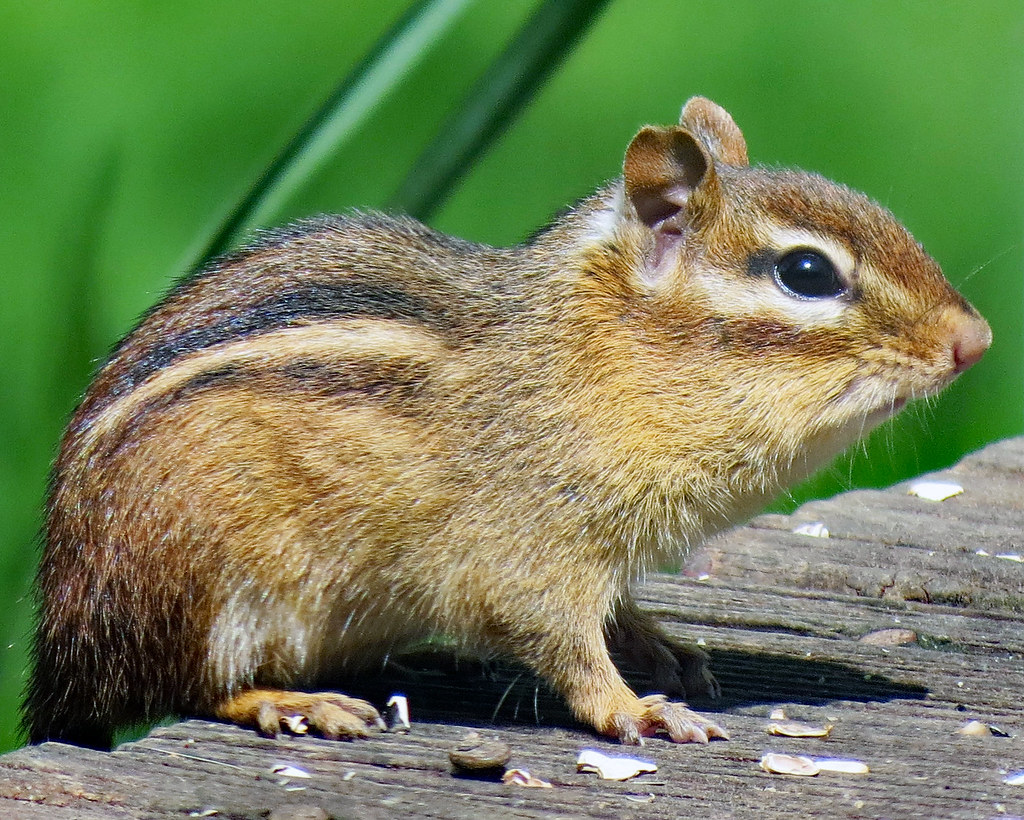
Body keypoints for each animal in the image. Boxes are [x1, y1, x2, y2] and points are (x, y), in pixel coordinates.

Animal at [27, 97, 990, 749]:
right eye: (806, 272)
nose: (974, 340)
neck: (592, 356)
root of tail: (66, 634)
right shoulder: (523, 554)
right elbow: (560, 644)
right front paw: (636, 709)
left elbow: (616, 612)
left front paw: (662, 650)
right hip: (199, 582)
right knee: (187, 685)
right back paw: (292, 702)